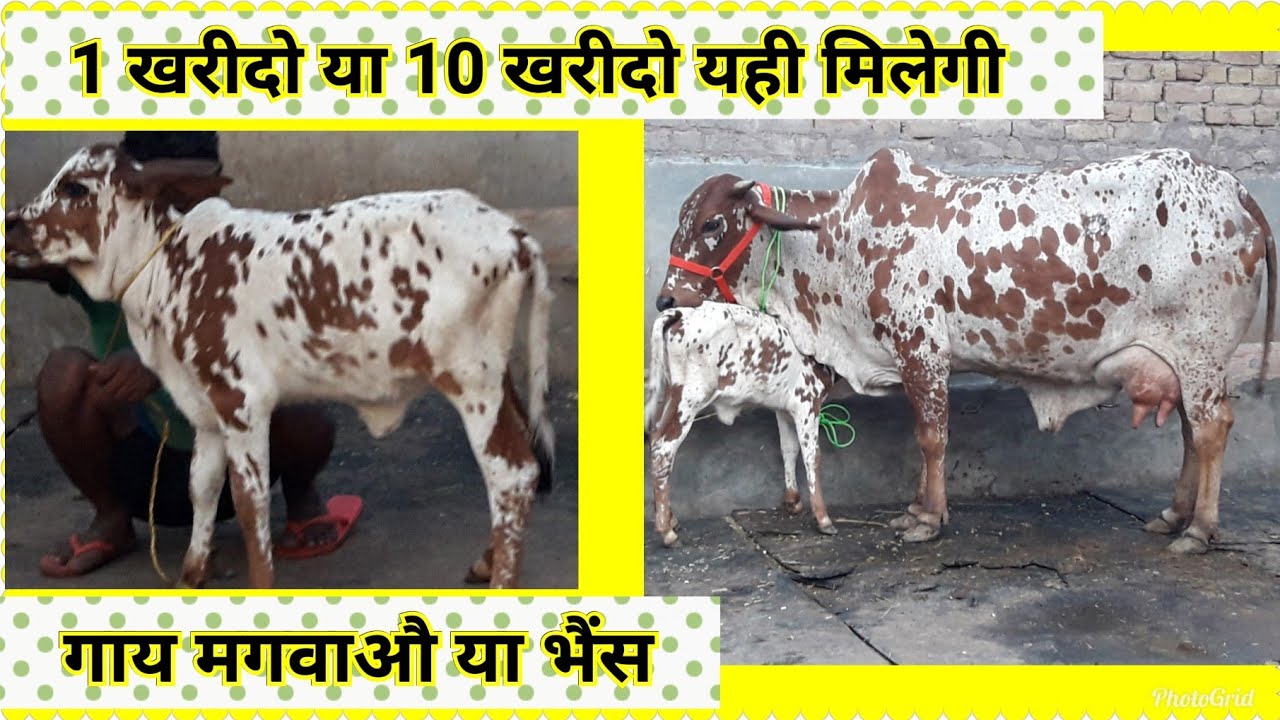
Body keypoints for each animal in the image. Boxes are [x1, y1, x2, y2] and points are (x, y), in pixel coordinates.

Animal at [6, 143, 555, 589]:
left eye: (75, 187)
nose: (10, 223)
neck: (168, 267)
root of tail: (512, 232)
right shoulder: (204, 408)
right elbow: (203, 487)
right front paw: (191, 575)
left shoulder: (240, 402)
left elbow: (250, 506)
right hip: (499, 378)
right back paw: (485, 563)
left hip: (471, 380)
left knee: (511, 473)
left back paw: (501, 582)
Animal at [644, 302, 839, 545]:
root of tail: (682, 312)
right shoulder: (807, 402)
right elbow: (812, 457)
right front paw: (823, 518)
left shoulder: (784, 409)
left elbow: (789, 449)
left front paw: (792, 500)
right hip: (689, 398)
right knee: (663, 450)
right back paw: (666, 531)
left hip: (671, 396)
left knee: (656, 440)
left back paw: (670, 519)